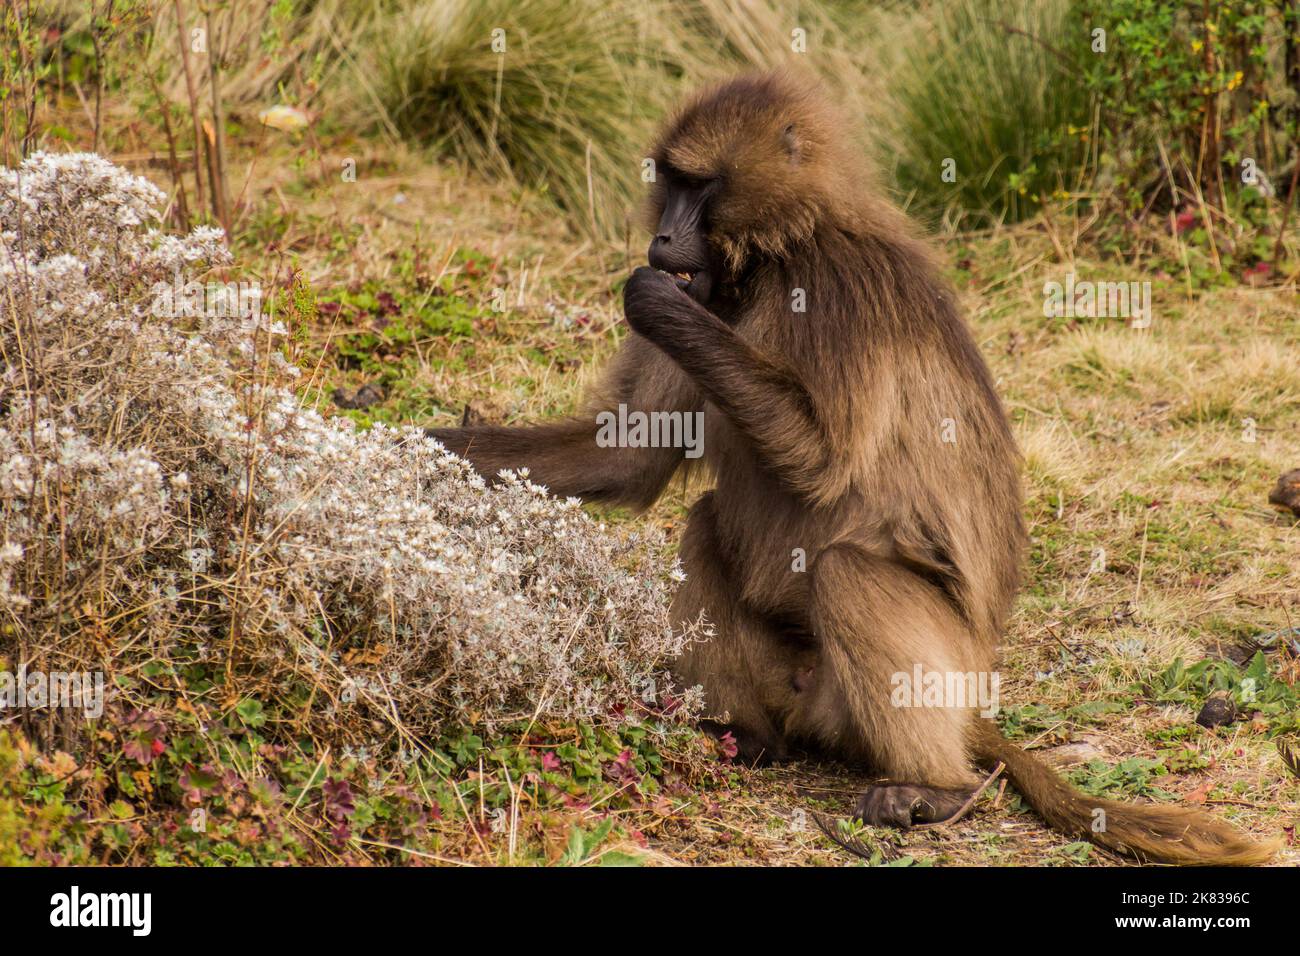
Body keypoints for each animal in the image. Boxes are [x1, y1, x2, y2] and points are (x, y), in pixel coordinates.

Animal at [430, 71, 1275, 865]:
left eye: (701, 187)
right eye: (669, 183)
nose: (662, 241)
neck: (774, 256)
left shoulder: (835, 293)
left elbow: (822, 460)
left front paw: (652, 302)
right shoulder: (719, 297)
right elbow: (624, 454)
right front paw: (422, 453)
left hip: (933, 670)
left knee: (847, 573)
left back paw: (935, 790)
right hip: (791, 684)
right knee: (705, 528)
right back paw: (742, 739)